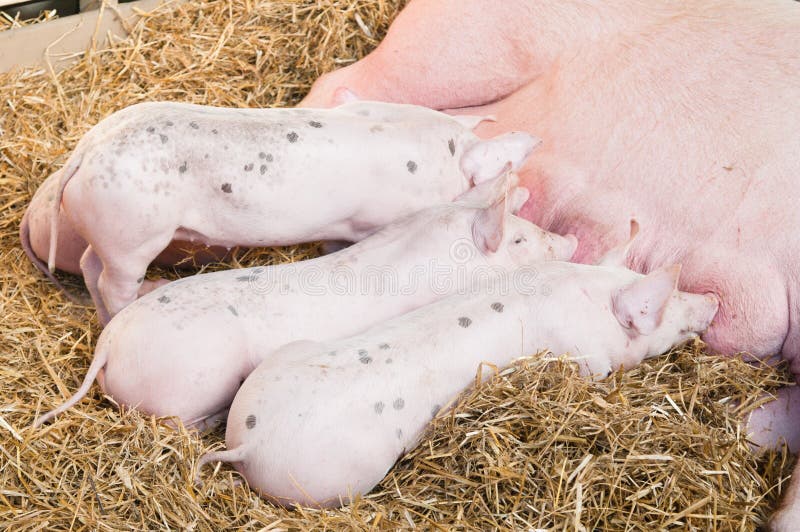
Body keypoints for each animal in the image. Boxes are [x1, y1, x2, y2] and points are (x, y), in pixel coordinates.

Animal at [49, 98, 539, 324]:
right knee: (113, 282)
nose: (528, 194)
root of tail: (86, 150)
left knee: (89, 264)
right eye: (504, 177)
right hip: (135, 234)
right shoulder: (373, 220)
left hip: (115, 234)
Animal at [195, 233, 718, 508]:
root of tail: (251, 441)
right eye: (662, 311)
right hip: (345, 474)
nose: (713, 299)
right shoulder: (585, 358)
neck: (583, 296)